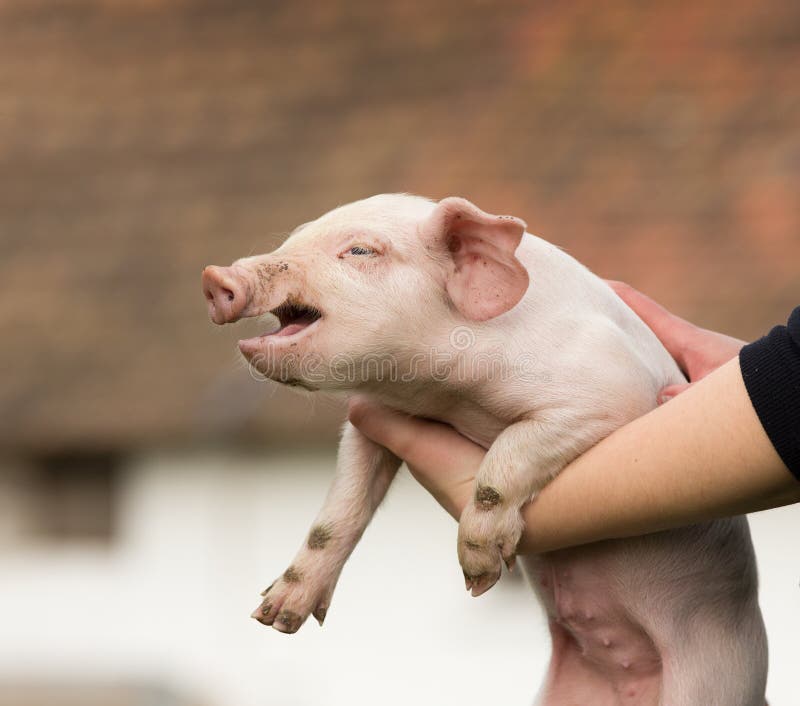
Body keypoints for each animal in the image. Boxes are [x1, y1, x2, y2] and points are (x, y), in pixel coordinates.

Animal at [202, 194, 767, 706]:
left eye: (360, 251)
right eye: (295, 237)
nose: (215, 275)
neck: (444, 392)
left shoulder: (610, 391)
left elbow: (510, 451)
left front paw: (478, 577)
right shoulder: (369, 424)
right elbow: (338, 513)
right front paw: (273, 619)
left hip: (715, 680)